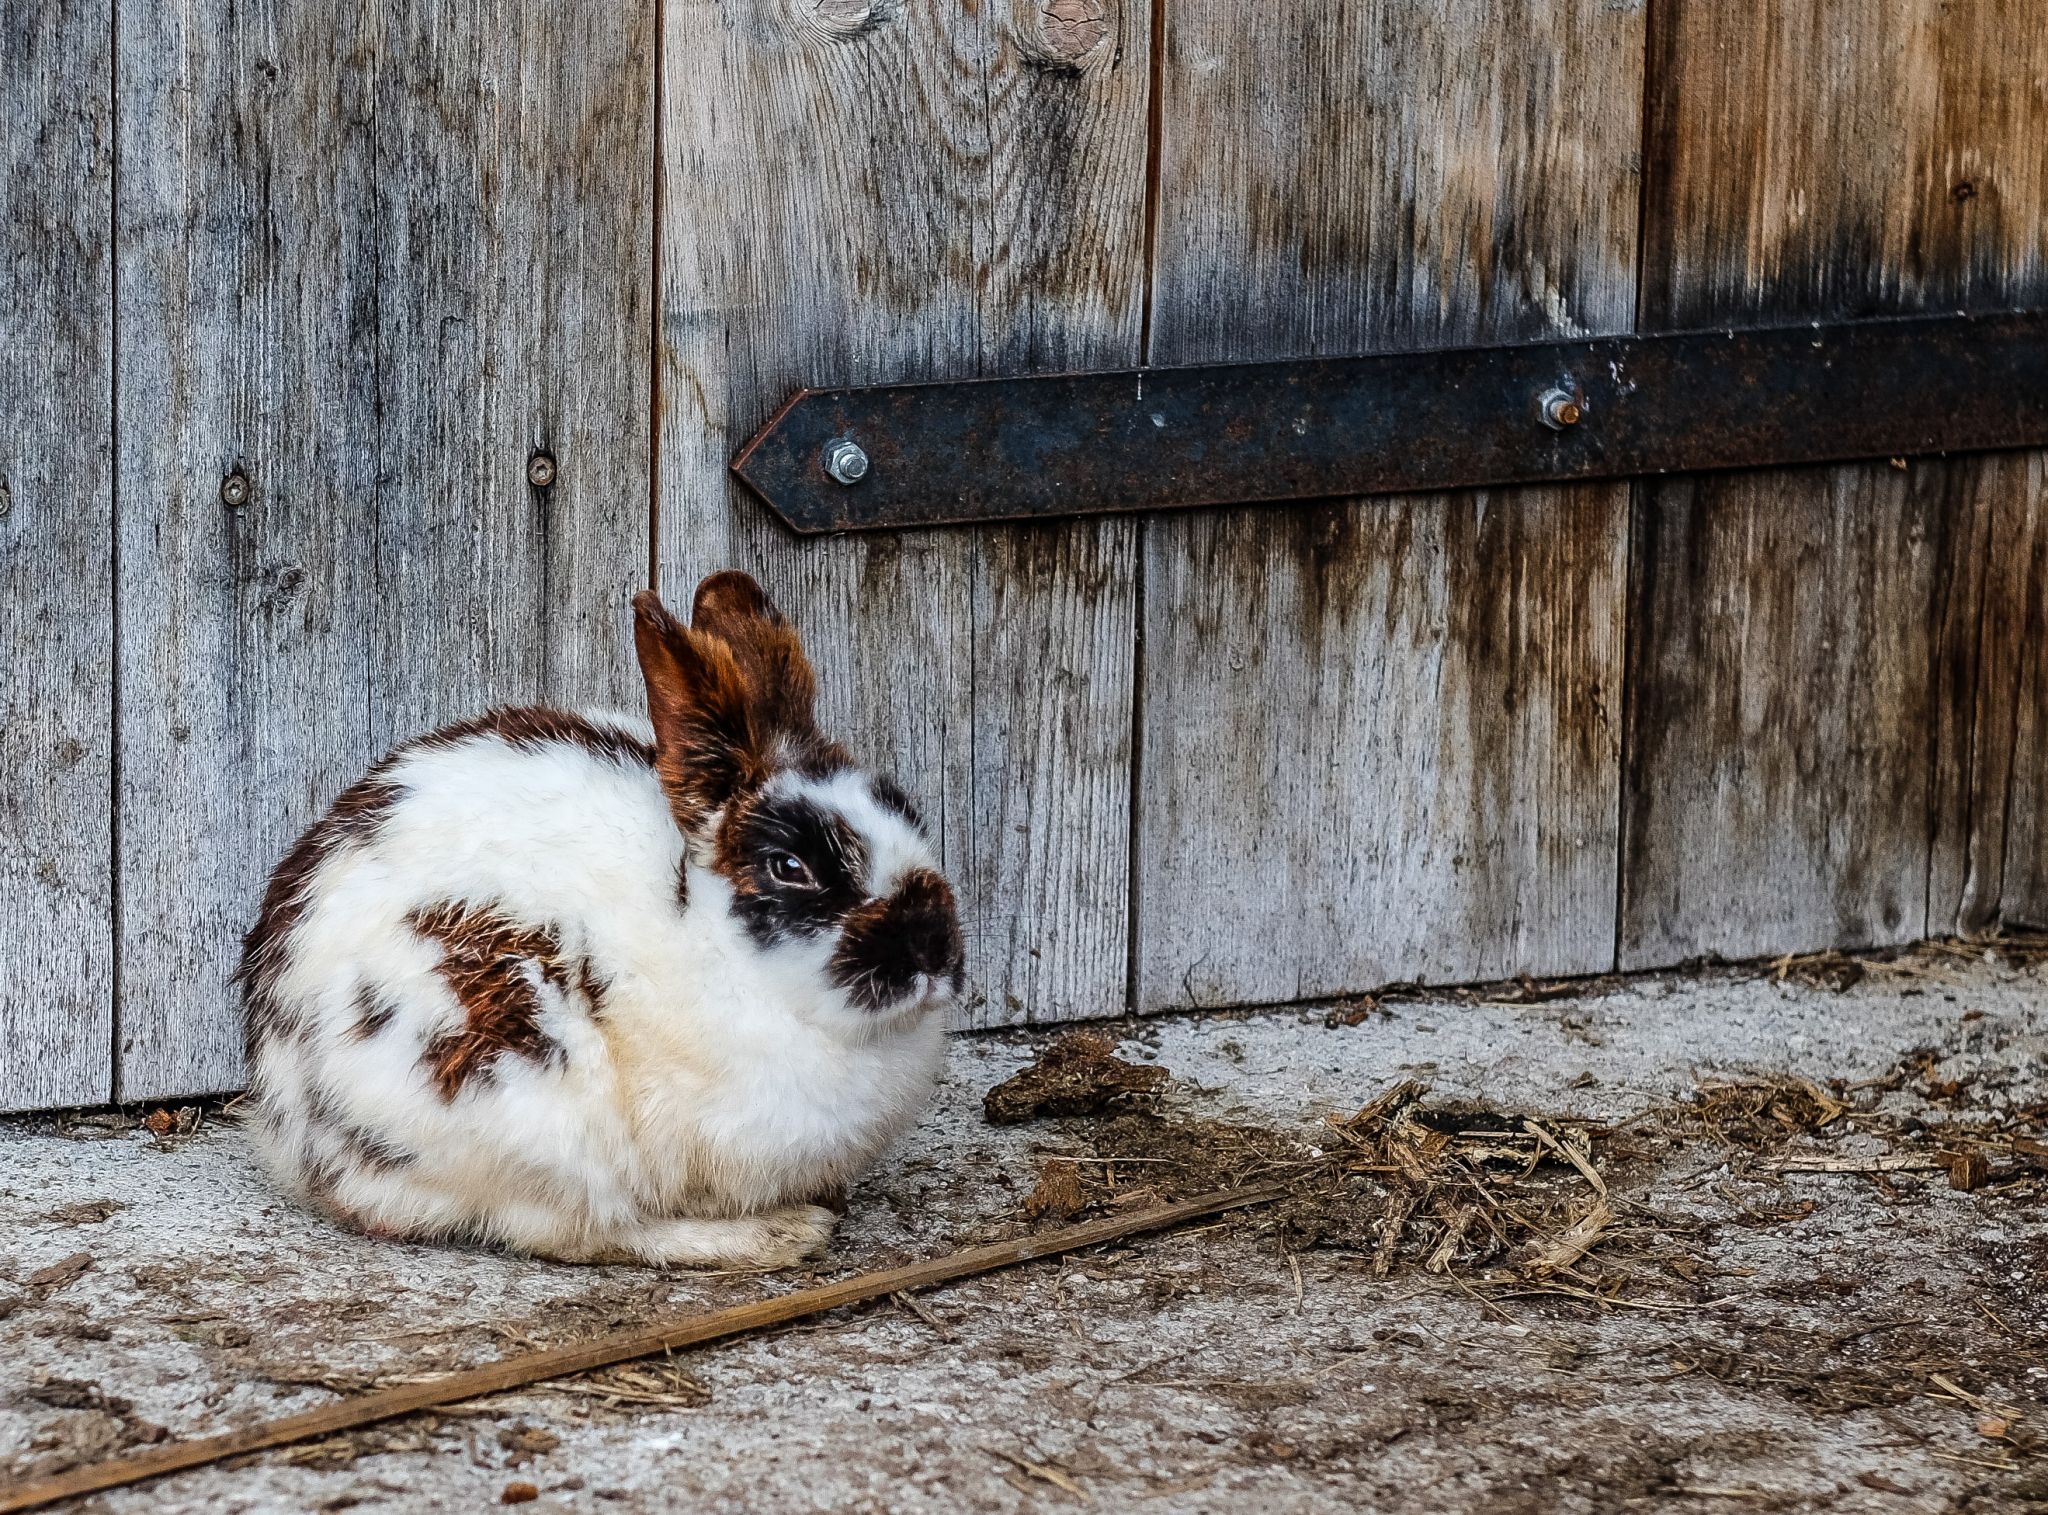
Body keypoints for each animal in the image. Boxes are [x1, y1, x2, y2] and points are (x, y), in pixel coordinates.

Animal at [237, 571, 963, 1268]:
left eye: (907, 811)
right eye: (789, 866)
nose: (932, 948)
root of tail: (292, 1126)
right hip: (528, 1092)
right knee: (582, 1231)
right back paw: (778, 1235)